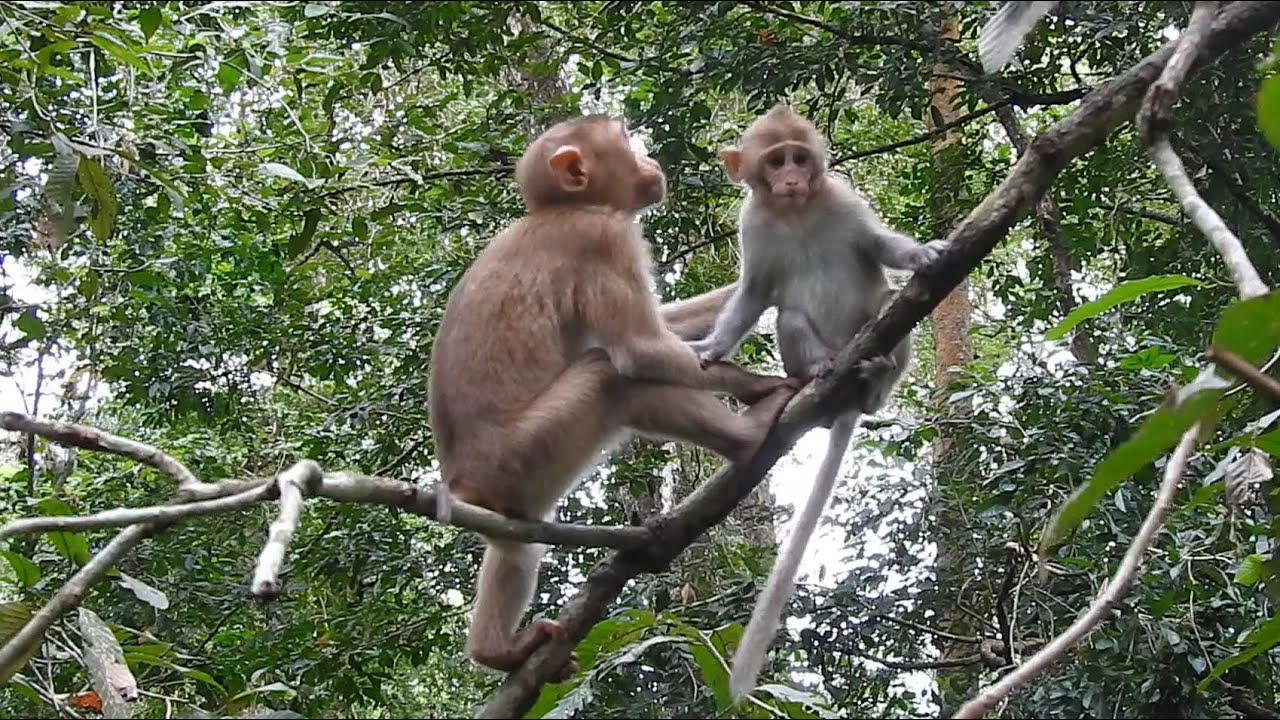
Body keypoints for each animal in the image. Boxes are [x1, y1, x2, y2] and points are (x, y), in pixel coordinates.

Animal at [427, 113, 804, 683]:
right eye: (624, 140)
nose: (648, 159)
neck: (563, 209)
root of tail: (462, 480)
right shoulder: (601, 239)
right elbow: (636, 349)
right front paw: (751, 384)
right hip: (524, 452)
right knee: (610, 379)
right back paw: (748, 434)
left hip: (509, 489)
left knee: (515, 546)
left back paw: (492, 650)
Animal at [686, 105, 949, 701]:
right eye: (775, 161)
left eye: (799, 157)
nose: (791, 178)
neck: (797, 212)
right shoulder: (753, 226)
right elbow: (754, 296)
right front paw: (712, 347)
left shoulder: (843, 200)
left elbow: (877, 246)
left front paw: (920, 253)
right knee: (789, 317)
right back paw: (822, 372)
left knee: (887, 302)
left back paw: (875, 380)